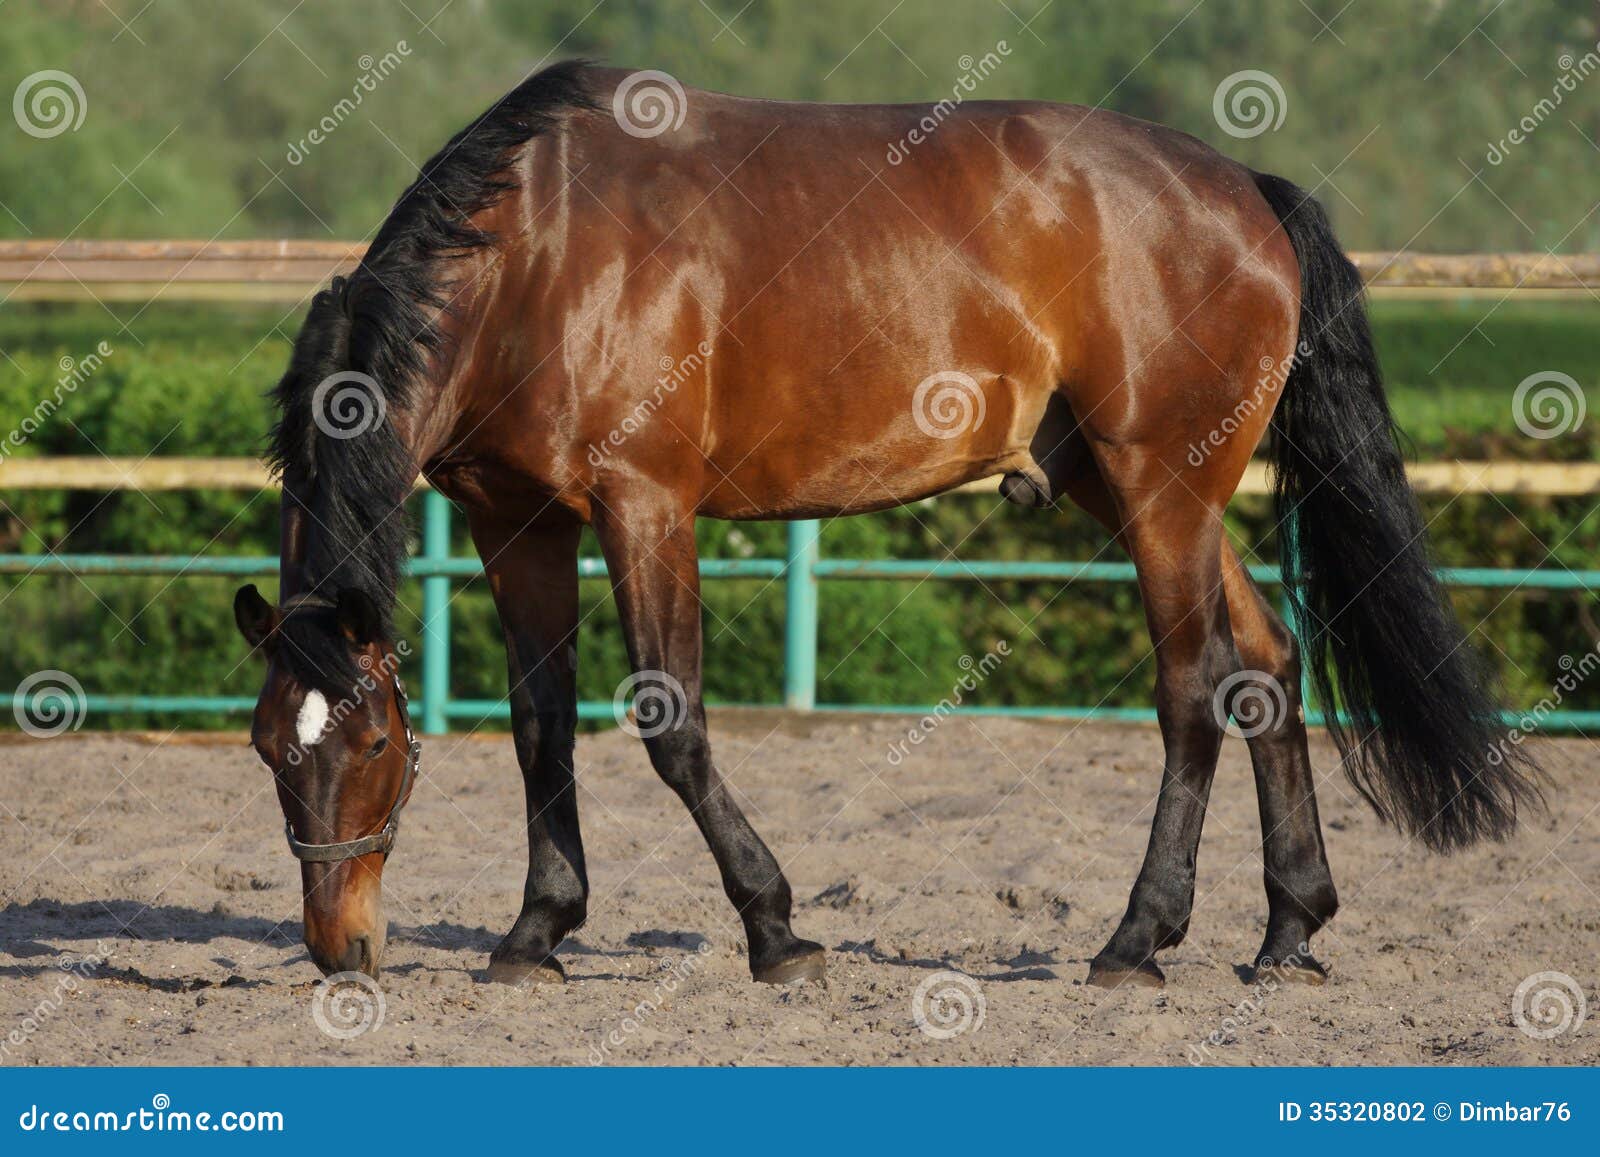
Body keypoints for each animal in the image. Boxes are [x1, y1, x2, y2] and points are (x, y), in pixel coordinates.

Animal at [233, 60, 1539, 990]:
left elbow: (669, 720)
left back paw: (1135, 938)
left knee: (1192, 688)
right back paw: (1287, 929)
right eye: (268, 749)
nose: (339, 946)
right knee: (1265, 663)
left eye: (372, 740)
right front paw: (535, 930)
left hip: (1164, 488)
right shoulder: (518, 524)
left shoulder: (645, 504)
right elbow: (539, 725)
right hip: (1143, 488)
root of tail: (1243, 192)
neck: (532, 257)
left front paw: (775, 927)